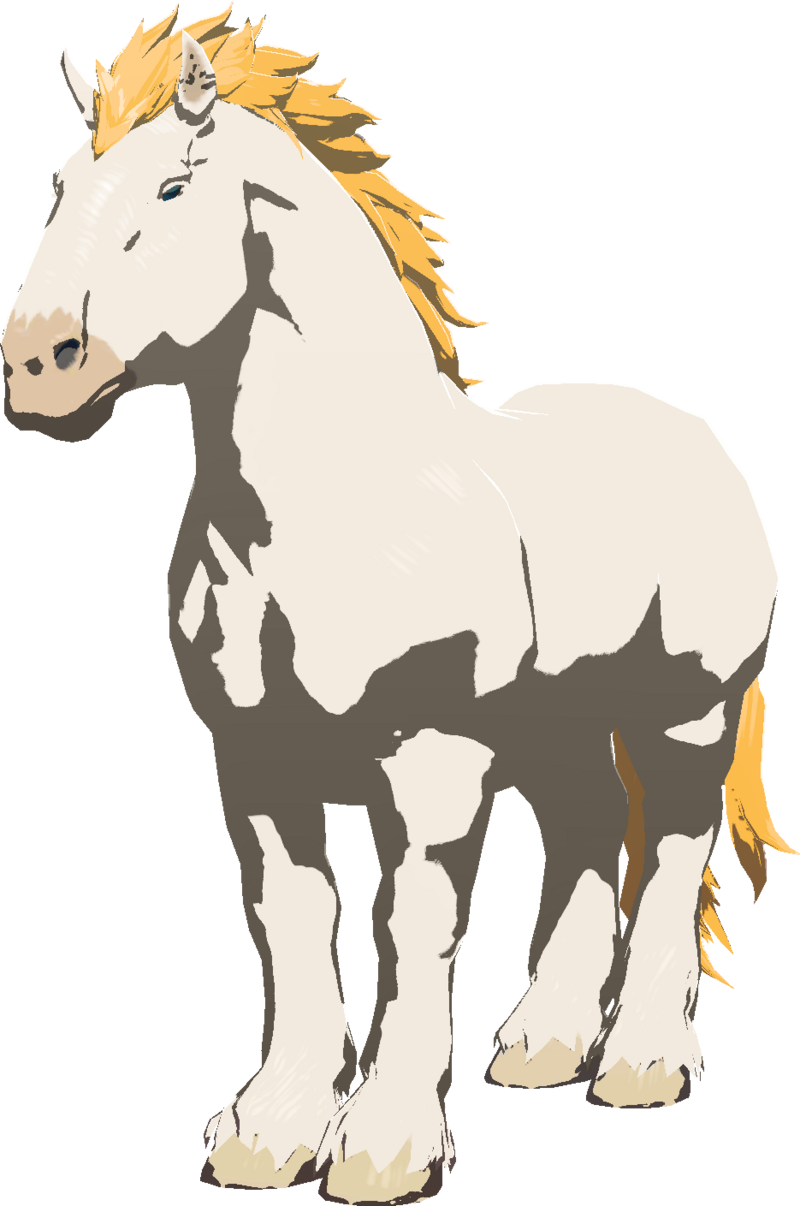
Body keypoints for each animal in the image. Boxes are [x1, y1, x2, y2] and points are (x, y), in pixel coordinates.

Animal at [3, 7, 794, 1200]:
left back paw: (642, 1063)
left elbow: (408, 921)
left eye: (176, 187)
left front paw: (384, 1148)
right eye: (57, 188)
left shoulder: (430, 759)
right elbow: (292, 917)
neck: (337, 505)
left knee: (667, 849)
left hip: (686, 713)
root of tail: (694, 433)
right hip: (556, 728)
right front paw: (271, 1130)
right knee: (583, 830)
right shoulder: (256, 760)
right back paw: (542, 1048)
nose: (38, 363)